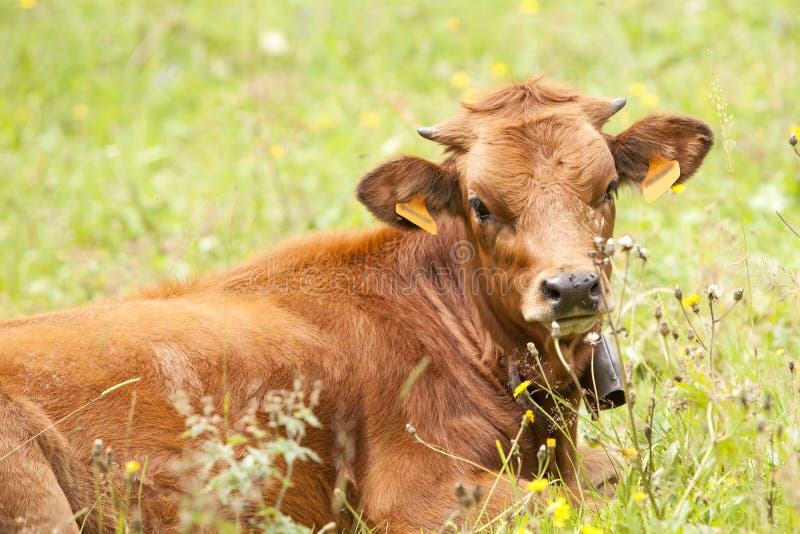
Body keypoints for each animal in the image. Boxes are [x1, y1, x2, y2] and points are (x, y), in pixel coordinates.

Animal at [0, 77, 713, 533]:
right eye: (480, 205)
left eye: (606, 188)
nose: (572, 287)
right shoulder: (419, 497)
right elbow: (600, 508)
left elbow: (616, 475)